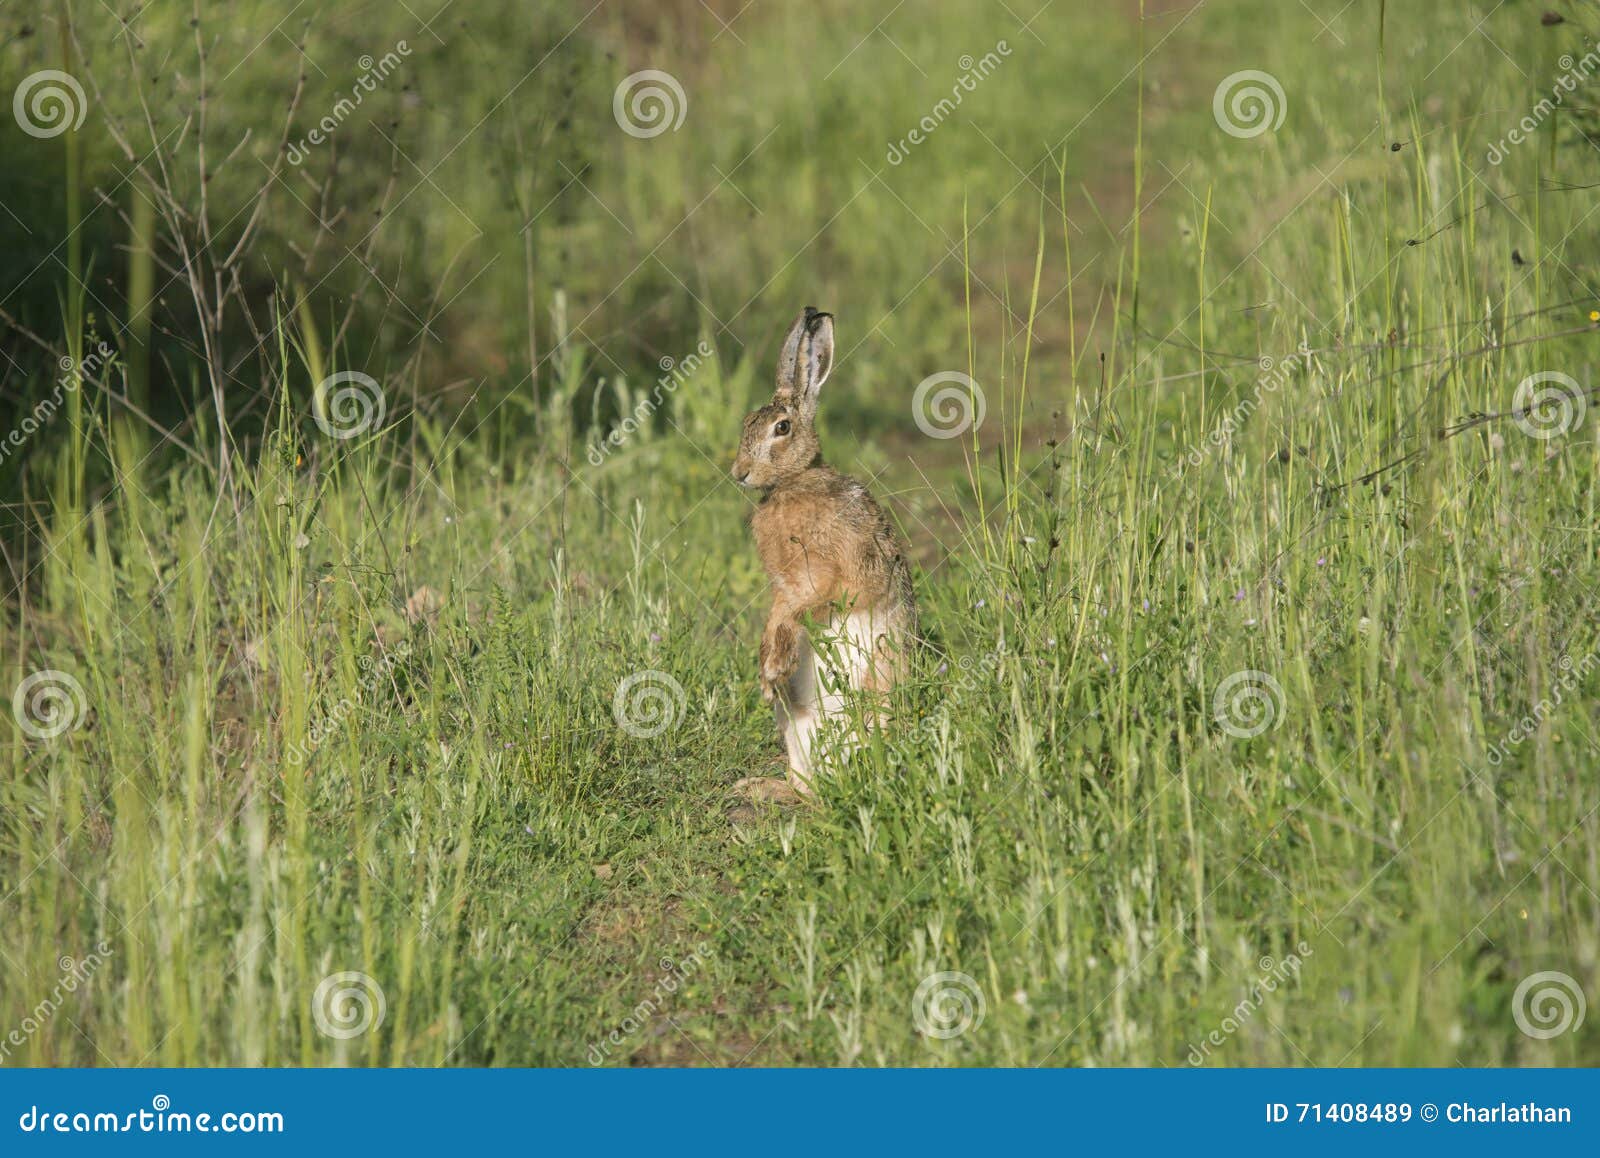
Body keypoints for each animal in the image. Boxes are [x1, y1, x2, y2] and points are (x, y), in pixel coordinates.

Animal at [731, 307, 919, 799]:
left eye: (781, 428)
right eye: (746, 423)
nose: (739, 473)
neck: (793, 483)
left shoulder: (846, 572)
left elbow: (807, 605)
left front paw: (775, 663)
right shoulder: (782, 585)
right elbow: (779, 610)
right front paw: (767, 669)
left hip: (878, 695)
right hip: (796, 727)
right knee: (804, 787)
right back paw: (762, 788)